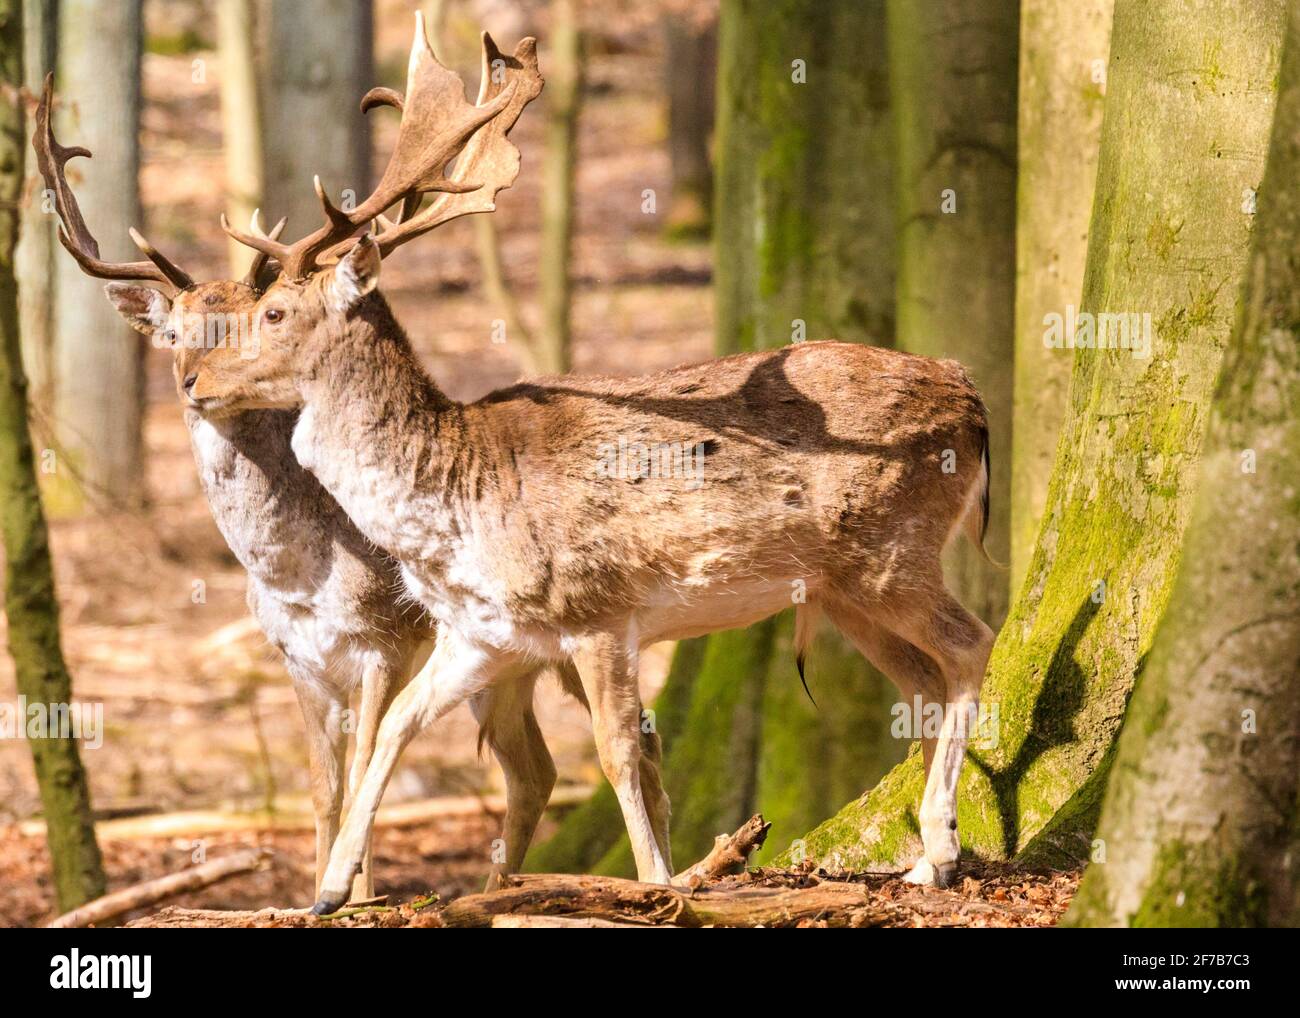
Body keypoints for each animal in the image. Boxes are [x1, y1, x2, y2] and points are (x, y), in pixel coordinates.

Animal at [30, 66, 598, 904]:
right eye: (177, 335)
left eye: (255, 322)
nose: (195, 385)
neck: (299, 575)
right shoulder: (296, 658)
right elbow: (323, 789)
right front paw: (313, 894)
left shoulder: (386, 644)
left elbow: (366, 773)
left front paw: (355, 897)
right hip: (506, 664)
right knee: (534, 769)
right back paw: (505, 885)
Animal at [183, 13, 997, 915]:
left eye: (274, 312)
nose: (193, 380)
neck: (457, 511)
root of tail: (970, 394)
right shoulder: (482, 634)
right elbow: (399, 725)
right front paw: (328, 891)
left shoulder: (599, 609)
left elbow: (618, 751)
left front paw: (661, 887)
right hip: (841, 588)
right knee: (921, 684)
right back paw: (926, 855)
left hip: (890, 551)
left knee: (970, 646)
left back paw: (942, 848)